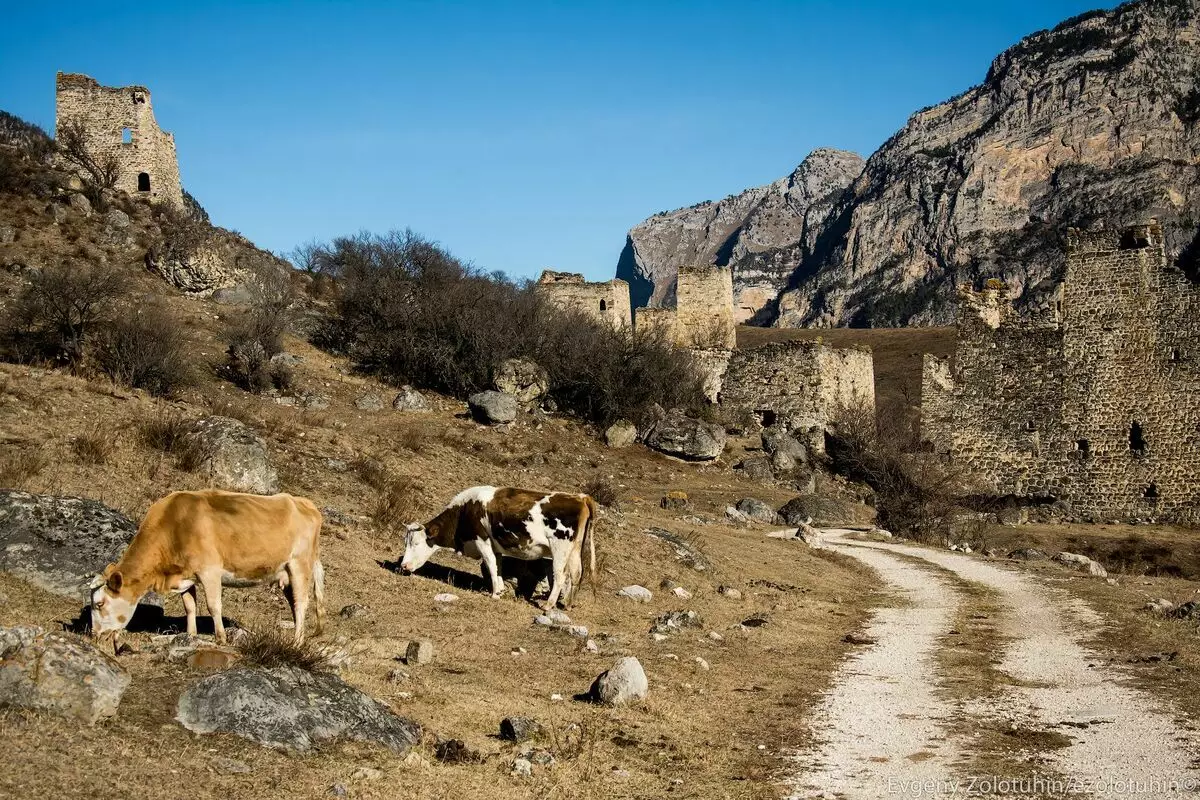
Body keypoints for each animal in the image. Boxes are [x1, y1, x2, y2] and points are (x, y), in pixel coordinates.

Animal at [88, 489, 326, 642]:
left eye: (99, 604)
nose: (93, 634)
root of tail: (304, 503)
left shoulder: (210, 570)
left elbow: (213, 605)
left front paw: (220, 638)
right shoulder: (186, 575)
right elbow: (190, 606)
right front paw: (191, 635)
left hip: (299, 565)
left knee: (301, 603)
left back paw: (296, 642)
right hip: (285, 572)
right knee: (294, 604)